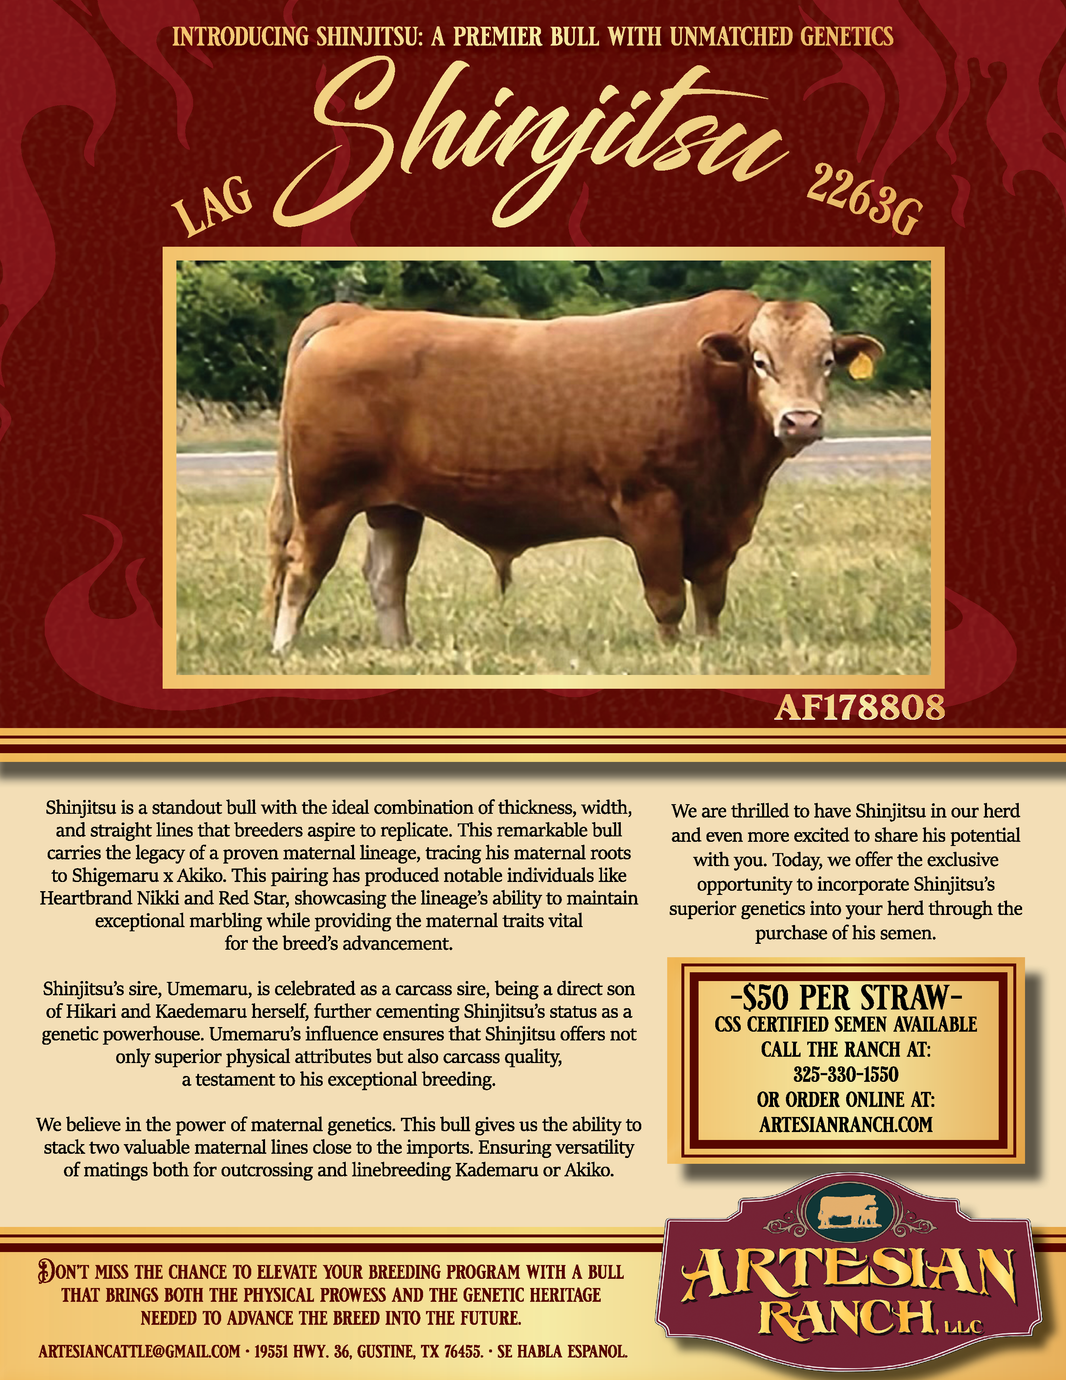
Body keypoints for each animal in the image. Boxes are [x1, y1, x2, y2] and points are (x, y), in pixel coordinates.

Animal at [267, 290, 883, 656]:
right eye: (760, 361)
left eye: (827, 361)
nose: (800, 419)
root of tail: (358, 315)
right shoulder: (650, 506)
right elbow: (667, 598)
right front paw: (671, 653)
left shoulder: (721, 522)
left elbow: (710, 597)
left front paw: (708, 648)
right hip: (325, 499)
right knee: (302, 568)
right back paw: (284, 647)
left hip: (395, 505)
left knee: (386, 576)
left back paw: (401, 649)